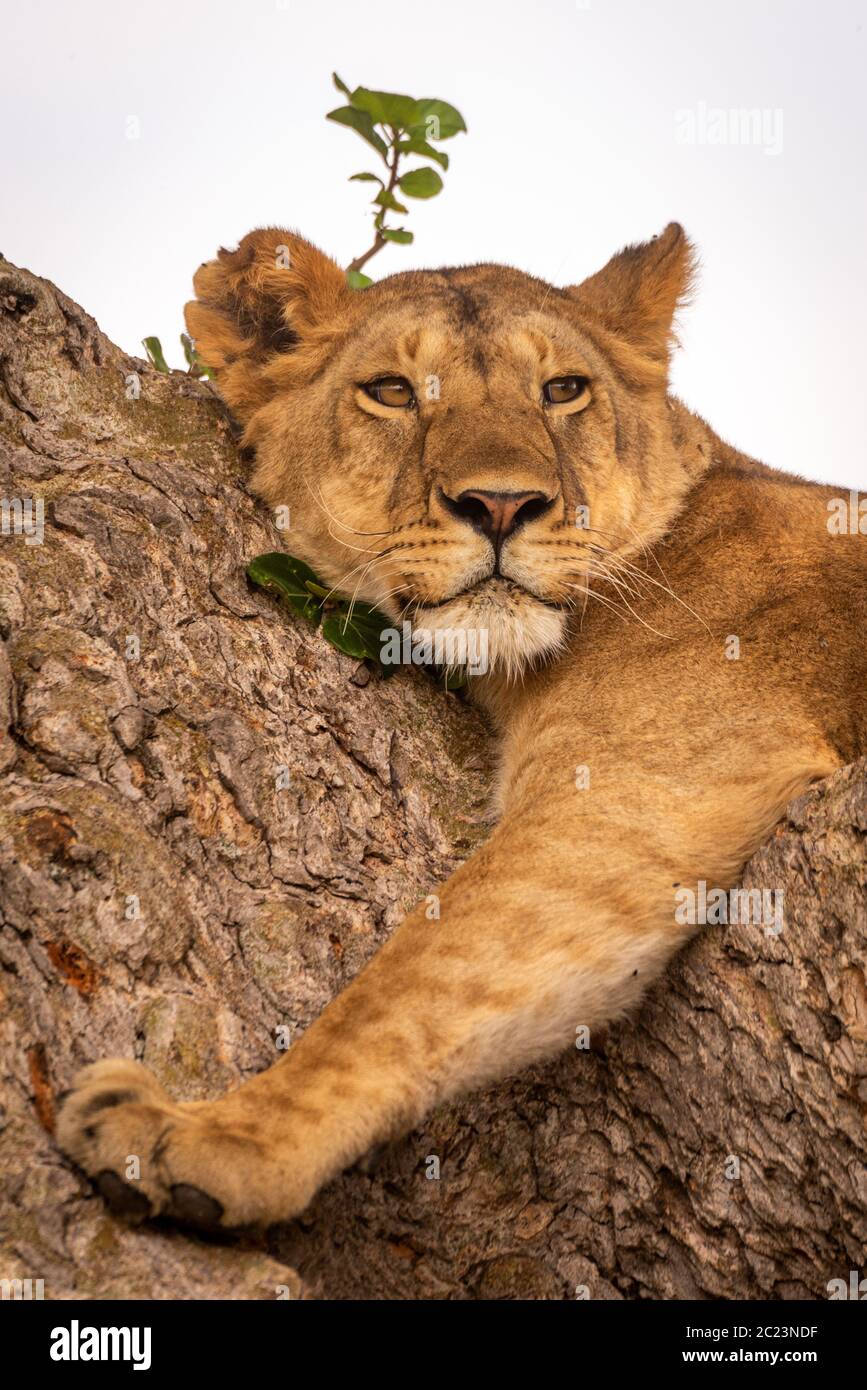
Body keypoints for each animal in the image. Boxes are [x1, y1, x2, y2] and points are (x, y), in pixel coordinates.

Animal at [57, 223, 867, 1231]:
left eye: (561, 390)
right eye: (393, 391)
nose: (501, 506)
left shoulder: (633, 794)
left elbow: (410, 983)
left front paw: (215, 1140)